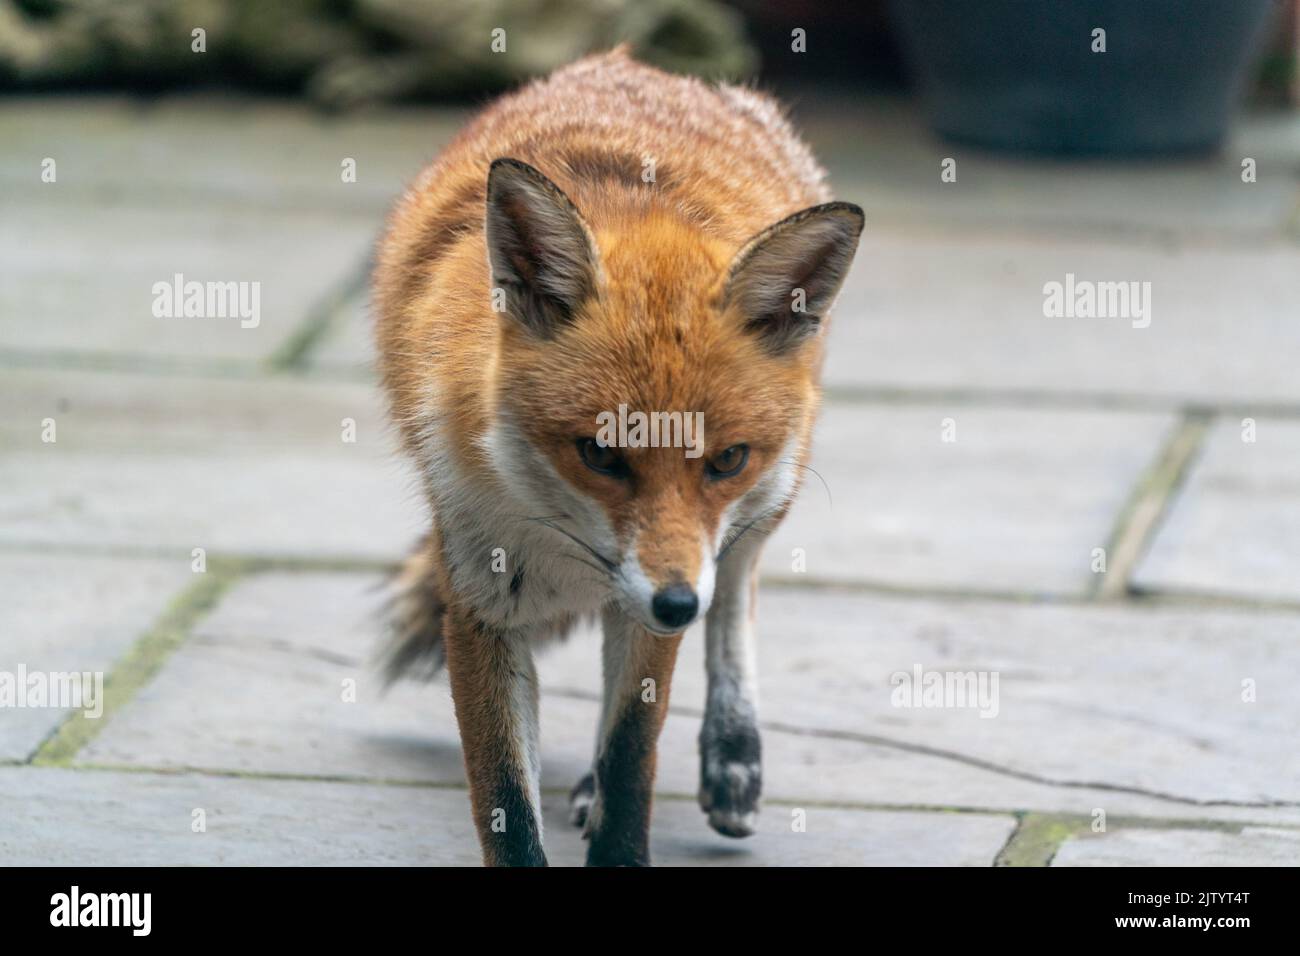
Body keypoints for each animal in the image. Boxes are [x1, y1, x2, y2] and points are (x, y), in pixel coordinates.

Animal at [372, 47, 862, 867]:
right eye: (601, 454)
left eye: (727, 459)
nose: (676, 604)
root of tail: (645, 65)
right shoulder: (477, 601)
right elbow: (505, 800)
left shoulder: (663, 599)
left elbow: (633, 752)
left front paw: (623, 827)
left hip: (774, 494)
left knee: (738, 588)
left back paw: (732, 755)